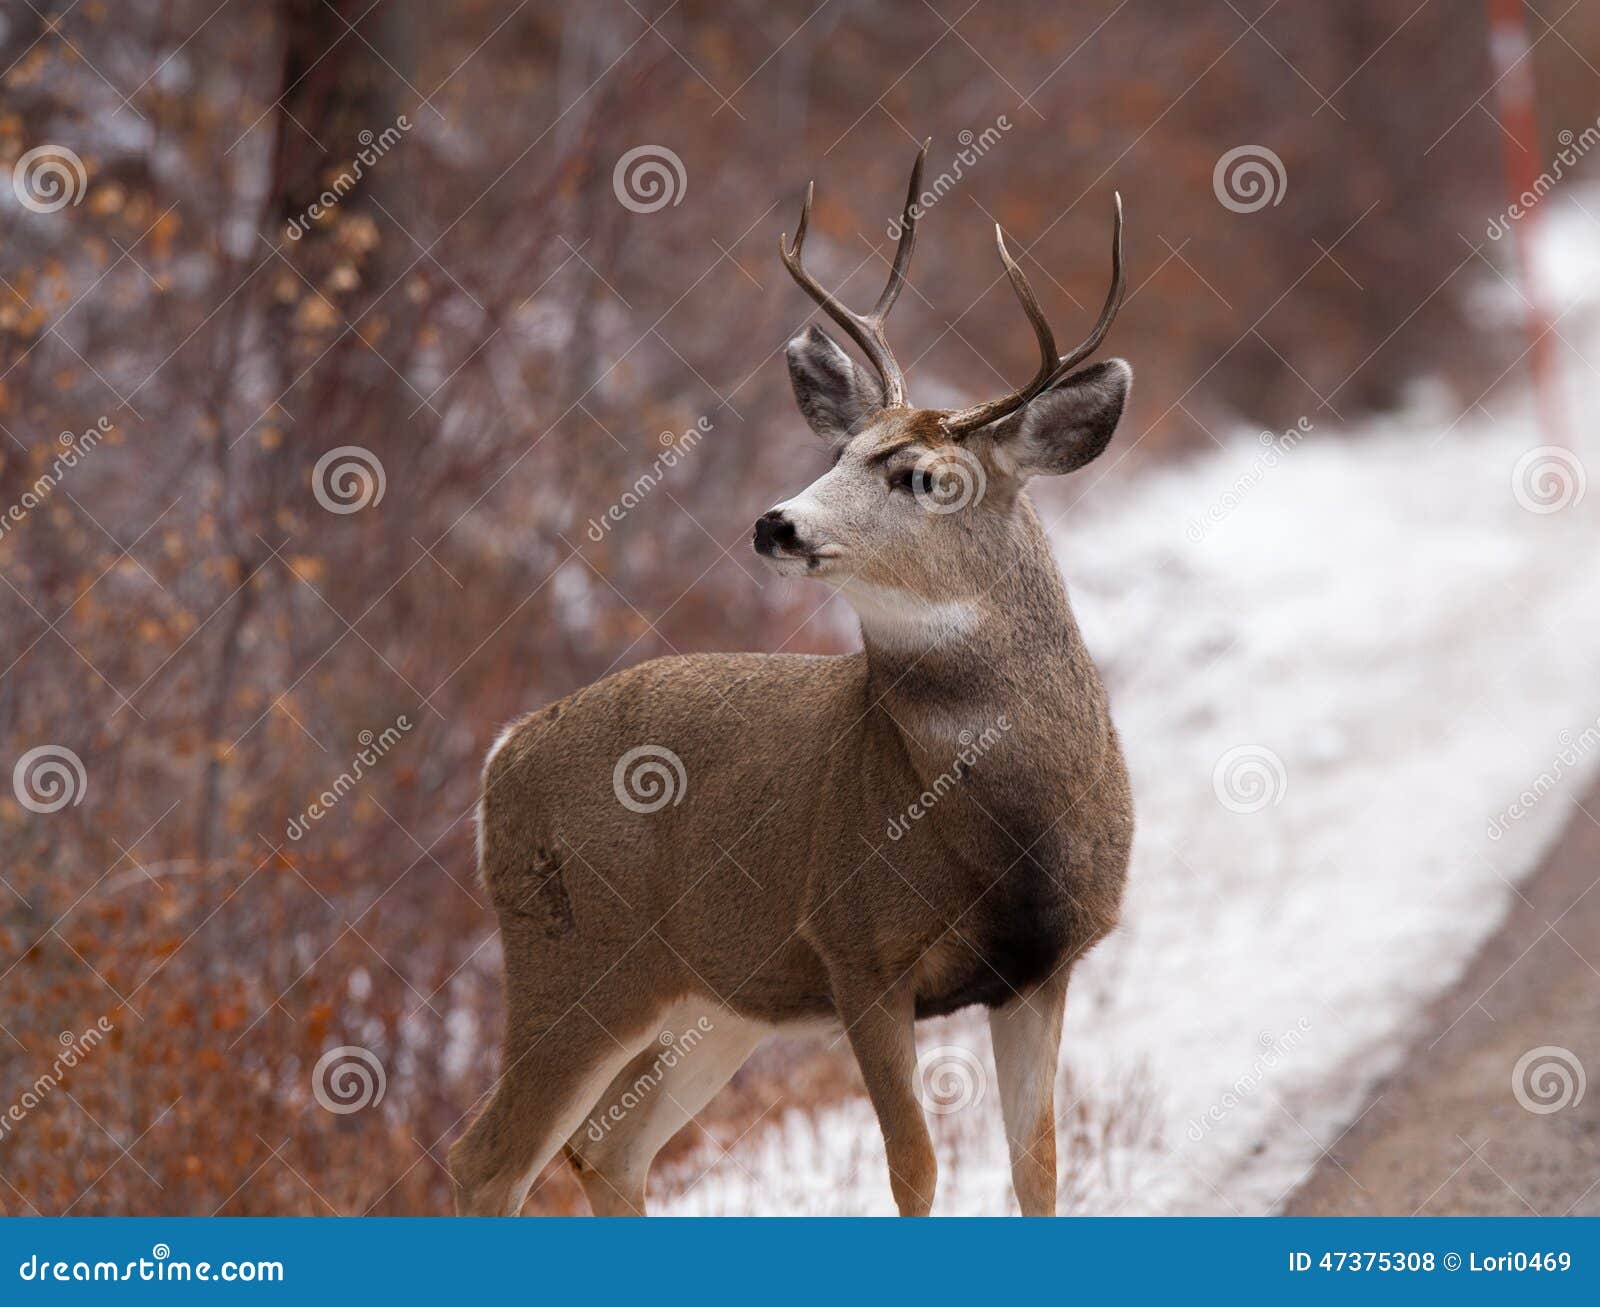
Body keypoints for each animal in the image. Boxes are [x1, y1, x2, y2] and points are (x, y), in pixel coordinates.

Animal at [448, 141, 1134, 1218]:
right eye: (841, 450)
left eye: (926, 476)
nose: (777, 522)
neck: (998, 822)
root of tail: (504, 751)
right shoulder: (855, 949)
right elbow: (915, 1167)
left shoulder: (1042, 967)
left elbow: (1037, 1169)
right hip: (575, 952)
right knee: (489, 1160)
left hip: (718, 992)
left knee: (607, 1147)